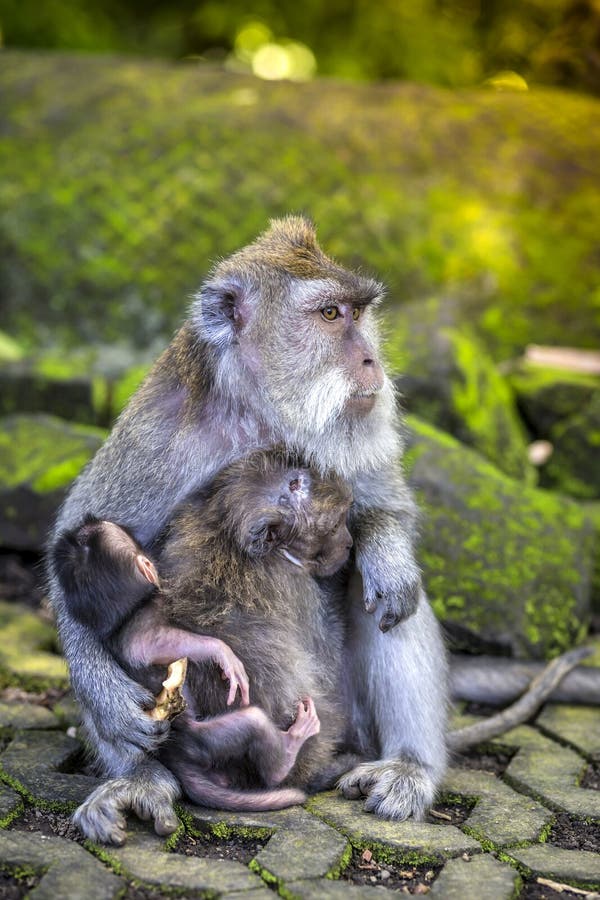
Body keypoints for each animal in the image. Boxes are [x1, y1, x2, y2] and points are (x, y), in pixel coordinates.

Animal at [48, 216, 447, 841]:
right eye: (330, 314)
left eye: (360, 313)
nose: (370, 362)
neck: (261, 410)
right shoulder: (156, 438)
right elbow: (76, 548)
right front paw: (109, 698)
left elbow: (388, 511)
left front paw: (386, 553)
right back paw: (143, 779)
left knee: (384, 601)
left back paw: (409, 767)